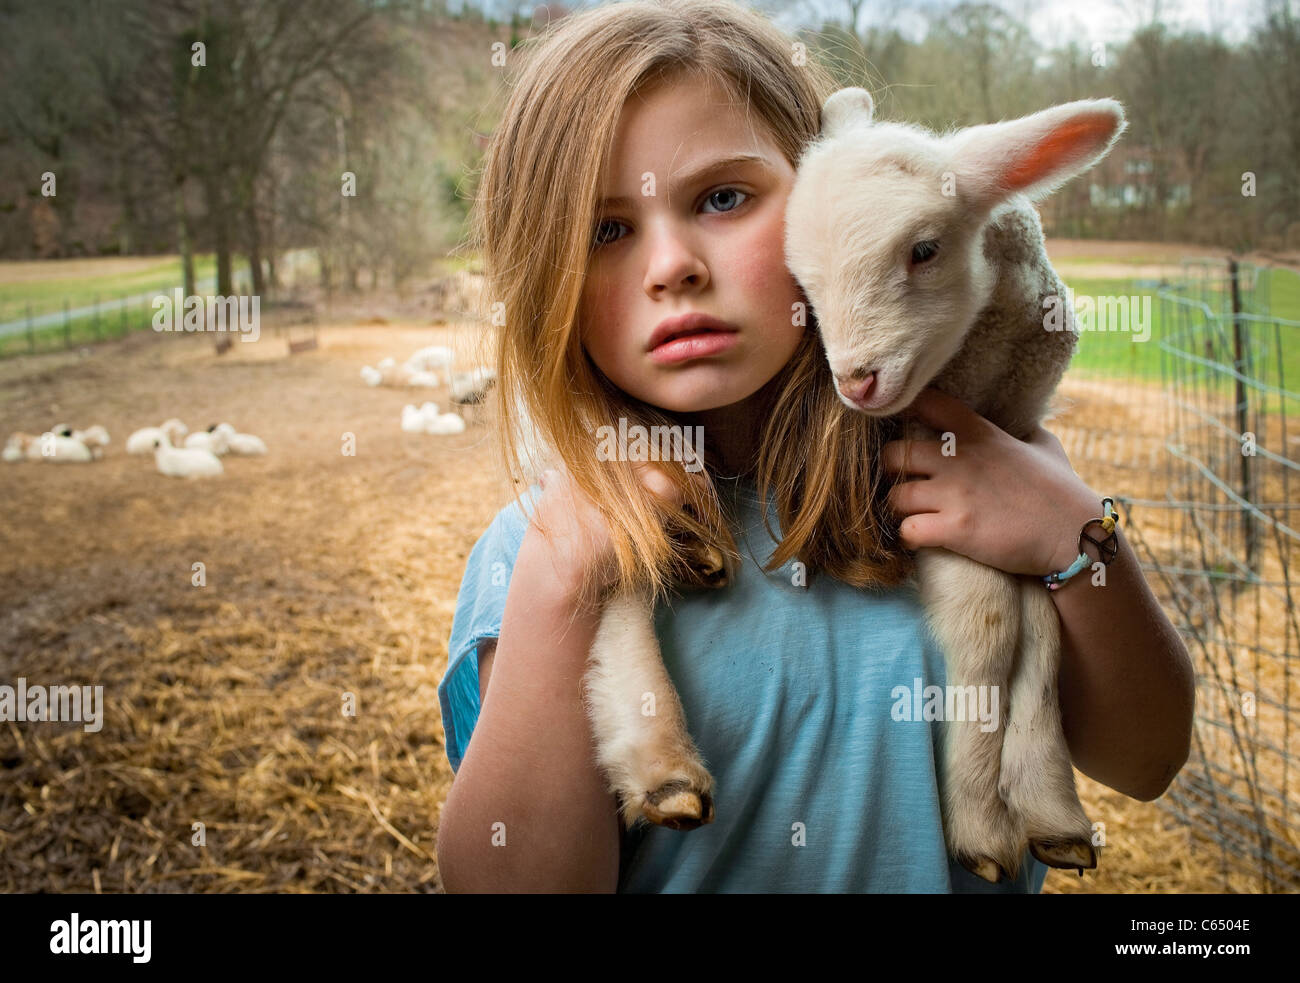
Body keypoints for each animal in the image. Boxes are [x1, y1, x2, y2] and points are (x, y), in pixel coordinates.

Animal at [783, 89, 1127, 882]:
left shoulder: (1018, 446)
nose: (856, 383)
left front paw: (1049, 806)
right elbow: (992, 623)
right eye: (802, 286)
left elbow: (1042, 626)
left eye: (925, 250)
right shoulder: (922, 484)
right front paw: (981, 822)